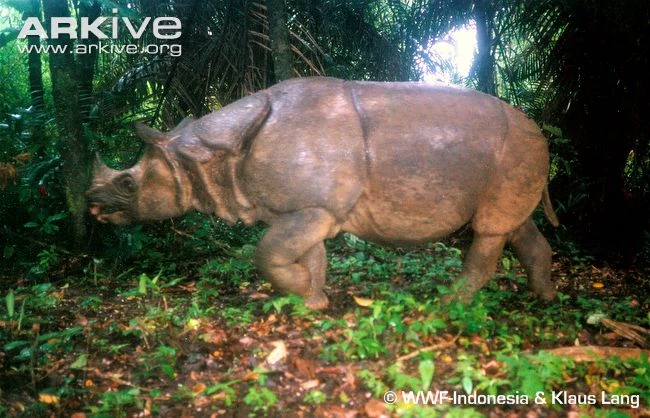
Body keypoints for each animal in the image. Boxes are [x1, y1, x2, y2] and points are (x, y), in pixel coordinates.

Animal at [88, 77, 559, 309]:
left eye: (128, 183)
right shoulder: (305, 206)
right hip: (519, 157)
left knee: (491, 229)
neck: (205, 154)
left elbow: (266, 253)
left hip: (515, 150)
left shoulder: (315, 207)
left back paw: (446, 306)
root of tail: (539, 130)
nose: (92, 206)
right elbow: (305, 254)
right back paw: (545, 298)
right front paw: (312, 301)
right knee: (516, 225)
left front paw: (300, 292)